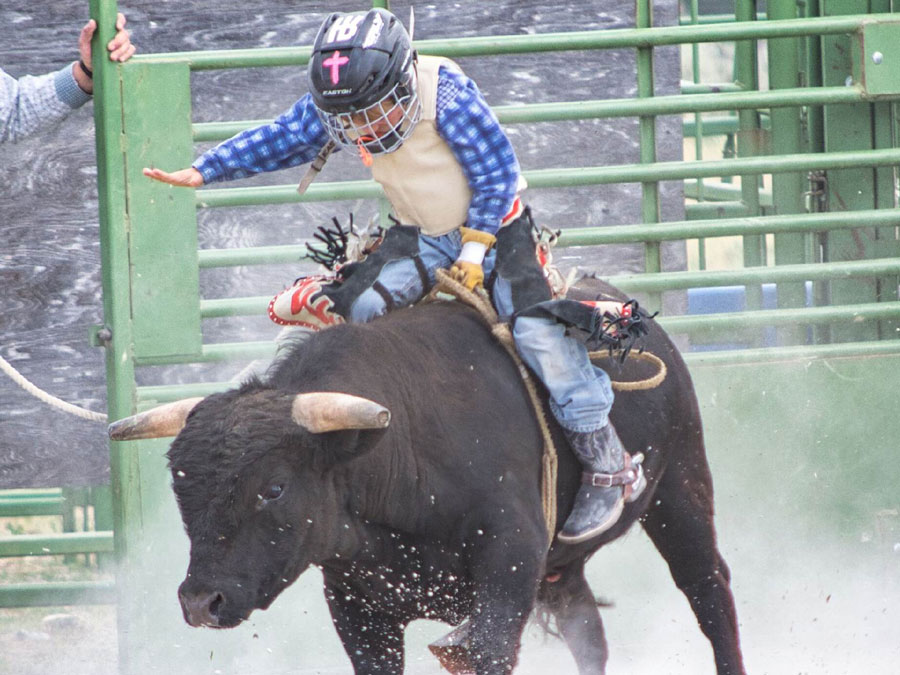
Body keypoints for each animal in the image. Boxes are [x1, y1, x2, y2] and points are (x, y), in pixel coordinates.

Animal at [109, 279, 745, 675]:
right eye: (181, 489)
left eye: (274, 487)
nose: (200, 601)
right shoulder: (358, 608)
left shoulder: (506, 573)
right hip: (561, 569)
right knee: (587, 630)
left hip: (682, 485)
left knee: (708, 589)